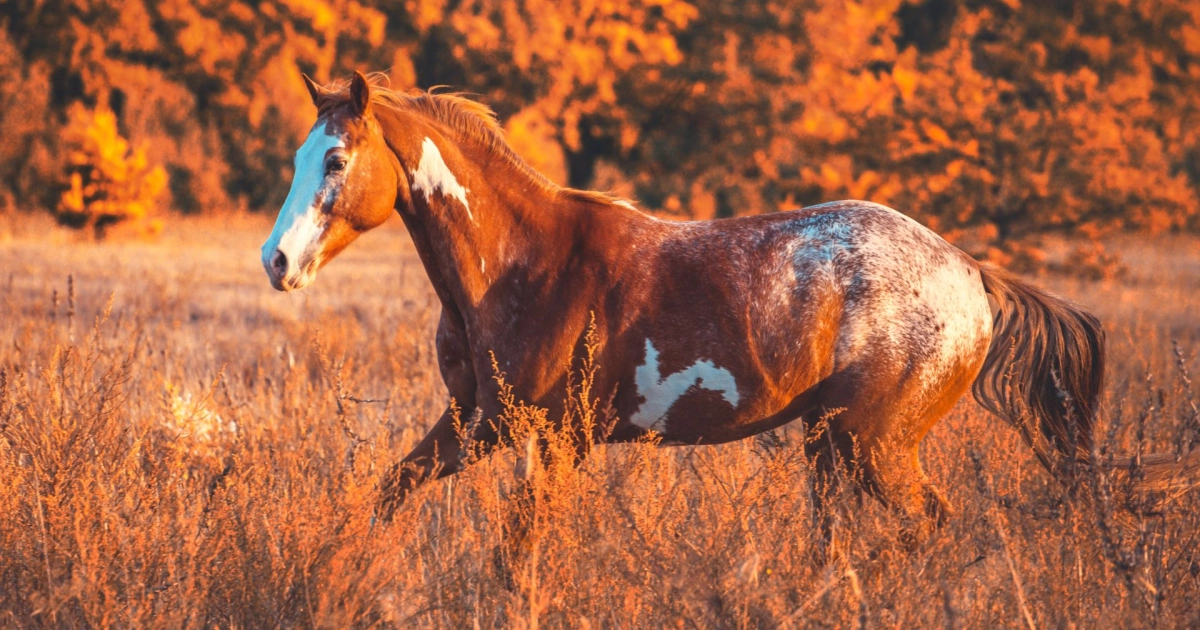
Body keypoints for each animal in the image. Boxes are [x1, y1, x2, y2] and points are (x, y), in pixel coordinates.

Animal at [260, 71, 1108, 548]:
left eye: (335, 159)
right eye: (299, 157)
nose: (277, 261)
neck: (523, 266)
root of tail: (970, 273)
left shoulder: (551, 440)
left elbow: (521, 552)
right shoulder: (475, 425)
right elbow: (386, 496)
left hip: (874, 443)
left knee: (924, 526)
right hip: (829, 443)